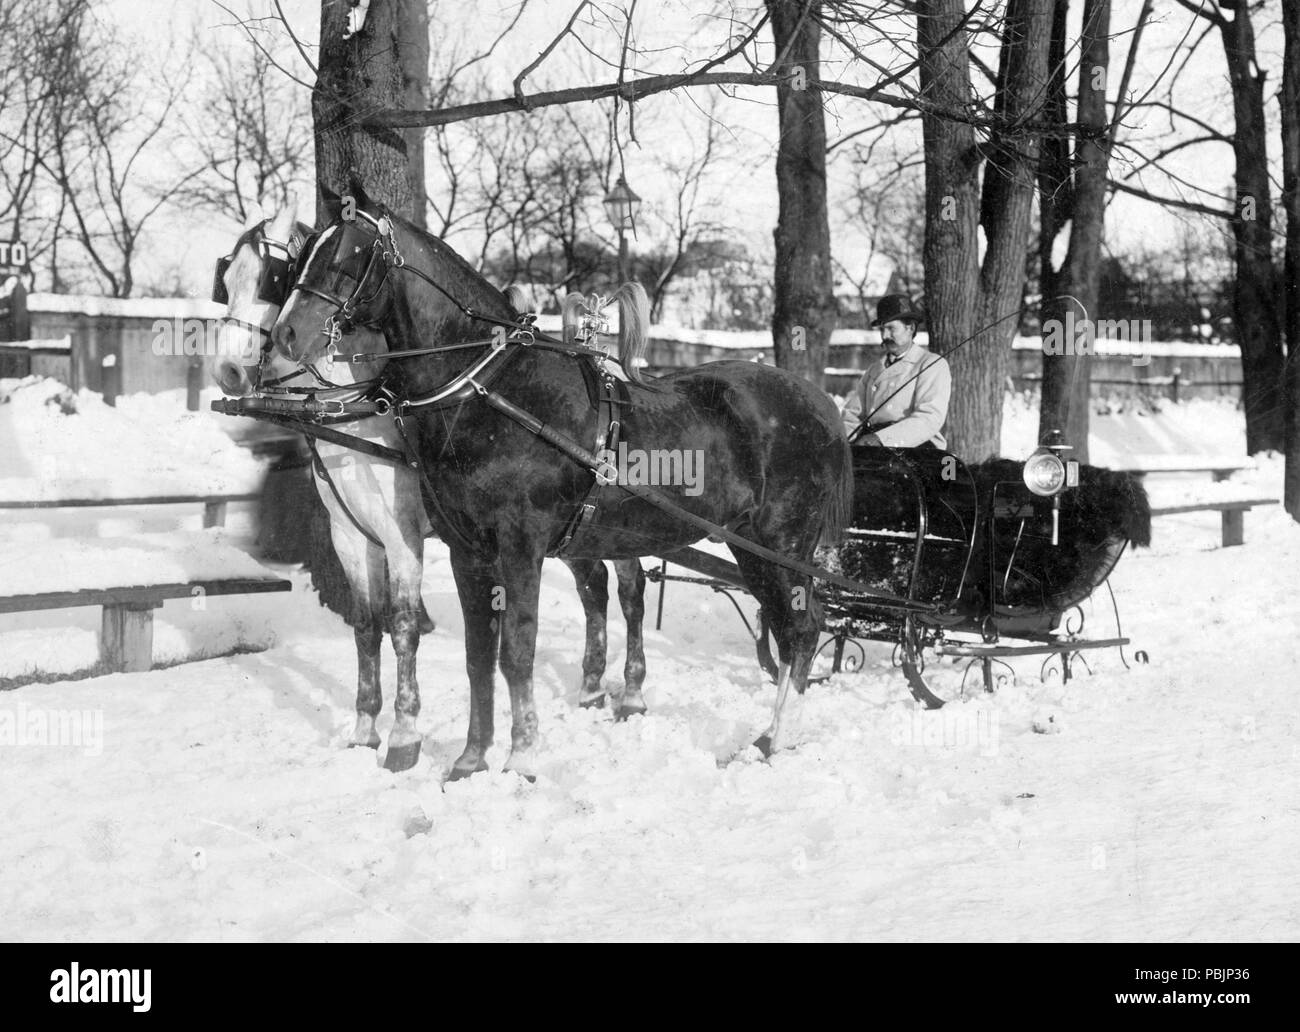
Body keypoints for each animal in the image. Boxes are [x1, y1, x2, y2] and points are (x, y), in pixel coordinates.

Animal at [213, 207, 649, 773]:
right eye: (225, 282)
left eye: (272, 277)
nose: (229, 371)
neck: (364, 411)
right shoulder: (350, 535)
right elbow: (365, 625)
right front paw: (364, 729)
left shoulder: (403, 537)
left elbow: (401, 625)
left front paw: (404, 734)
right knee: (592, 585)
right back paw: (593, 685)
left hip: (613, 523)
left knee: (631, 591)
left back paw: (632, 692)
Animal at [271, 182, 852, 780]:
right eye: (299, 257)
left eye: (348, 254)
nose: (285, 334)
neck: (491, 391)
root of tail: (822, 403)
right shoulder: (463, 550)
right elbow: (477, 655)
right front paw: (470, 758)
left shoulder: (512, 546)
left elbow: (514, 651)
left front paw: (521, 755)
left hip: (777, 547)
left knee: (800, 629)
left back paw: (775, 737)